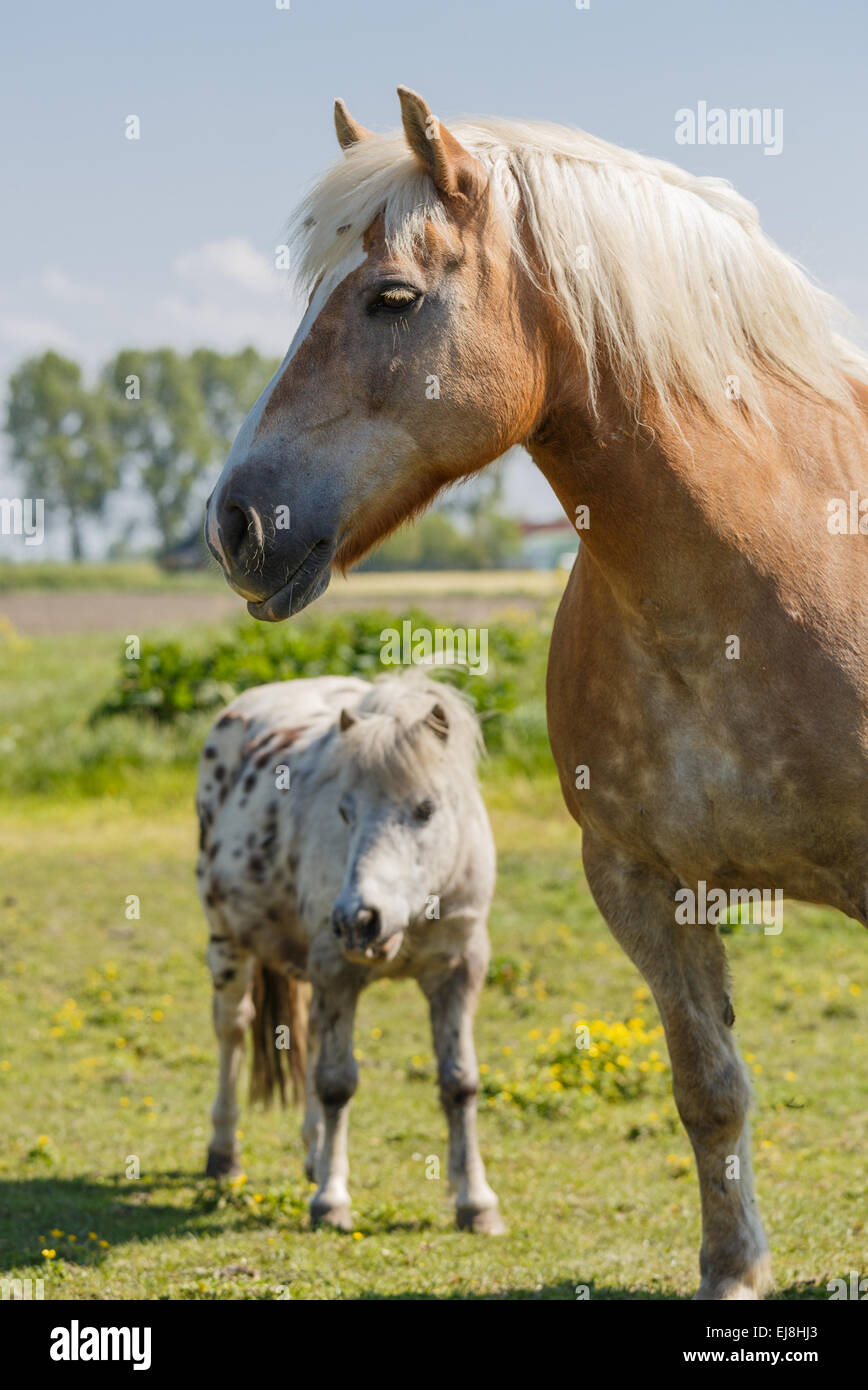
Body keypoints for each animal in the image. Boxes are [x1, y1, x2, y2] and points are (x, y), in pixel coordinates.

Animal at [197, 670, 504, 1234]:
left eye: (426, 809)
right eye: (345, 811)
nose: (359, 919)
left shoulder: (460, 970)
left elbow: (460, 1083)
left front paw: (475, 1201)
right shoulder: (336, 967)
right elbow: (338, 1082)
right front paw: (331, 1200)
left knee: (313, 1035)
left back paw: (313, 1154)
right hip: (228, 942)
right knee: (232, 1030)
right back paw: (224, 1155)